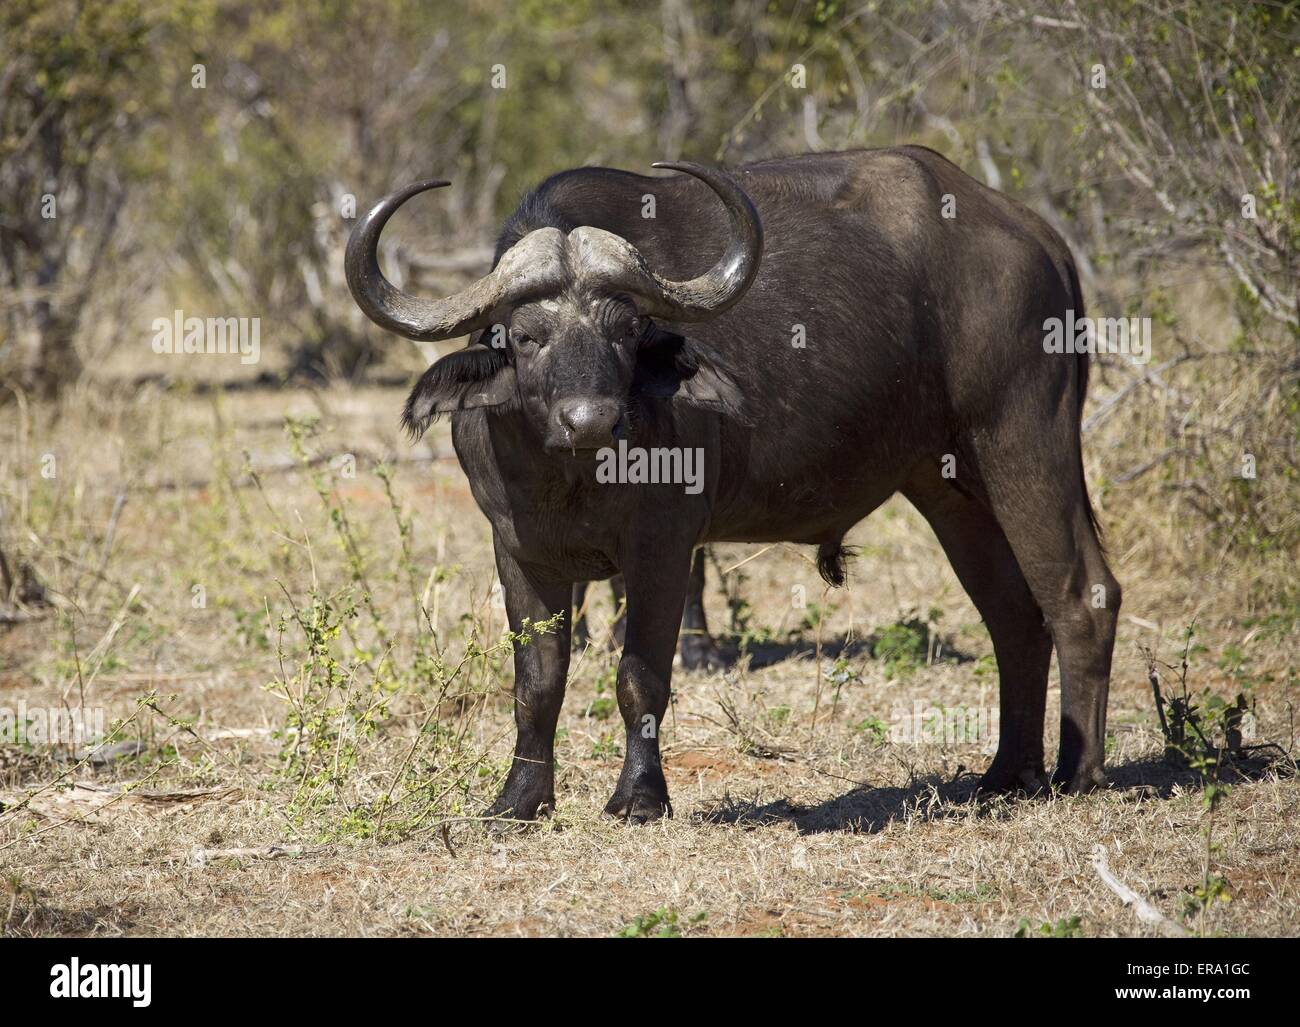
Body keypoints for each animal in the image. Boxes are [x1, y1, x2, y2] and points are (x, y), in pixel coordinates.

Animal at [346, 147, 1120, 823]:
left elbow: (640, 675)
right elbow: (537, 681)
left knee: (1083, 593)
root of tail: (1040, 238)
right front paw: (519, 801)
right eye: (526, 335)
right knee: (1014, 615)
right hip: (947, 484)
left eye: (626, 329)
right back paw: (1006, 775)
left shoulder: (663, 545)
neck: (571, 473)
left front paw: (639, 798)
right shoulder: (517, 550)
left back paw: (1075, 773)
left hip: (1026, 439)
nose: (591, 417)